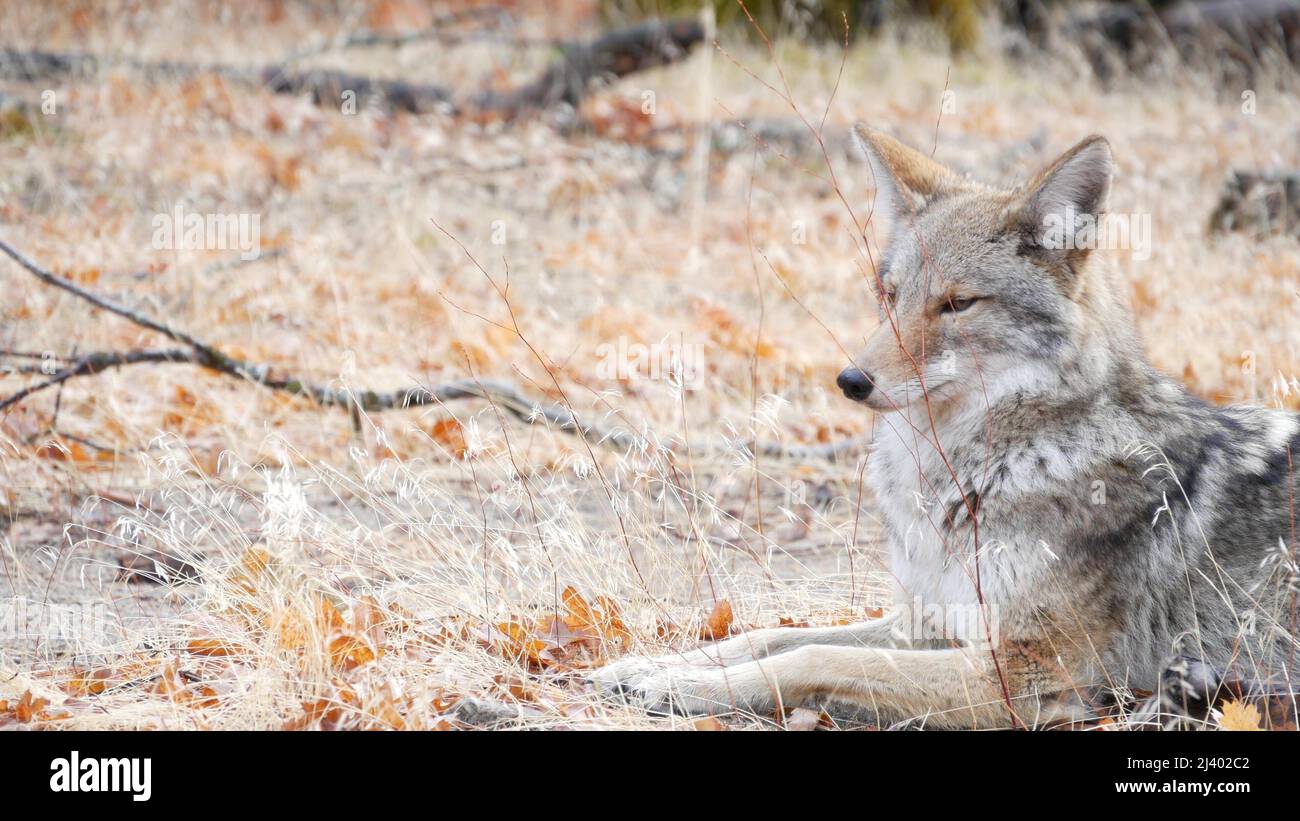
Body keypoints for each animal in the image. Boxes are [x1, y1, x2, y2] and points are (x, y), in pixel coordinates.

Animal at [590, 125, 1300, 728]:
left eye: (957, 303)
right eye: (890, 295)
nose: (851, 381)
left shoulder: (1028, 673)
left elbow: (815, 656)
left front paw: (685, 688)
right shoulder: (928, 619)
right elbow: (771, 635)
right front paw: (654, 666)